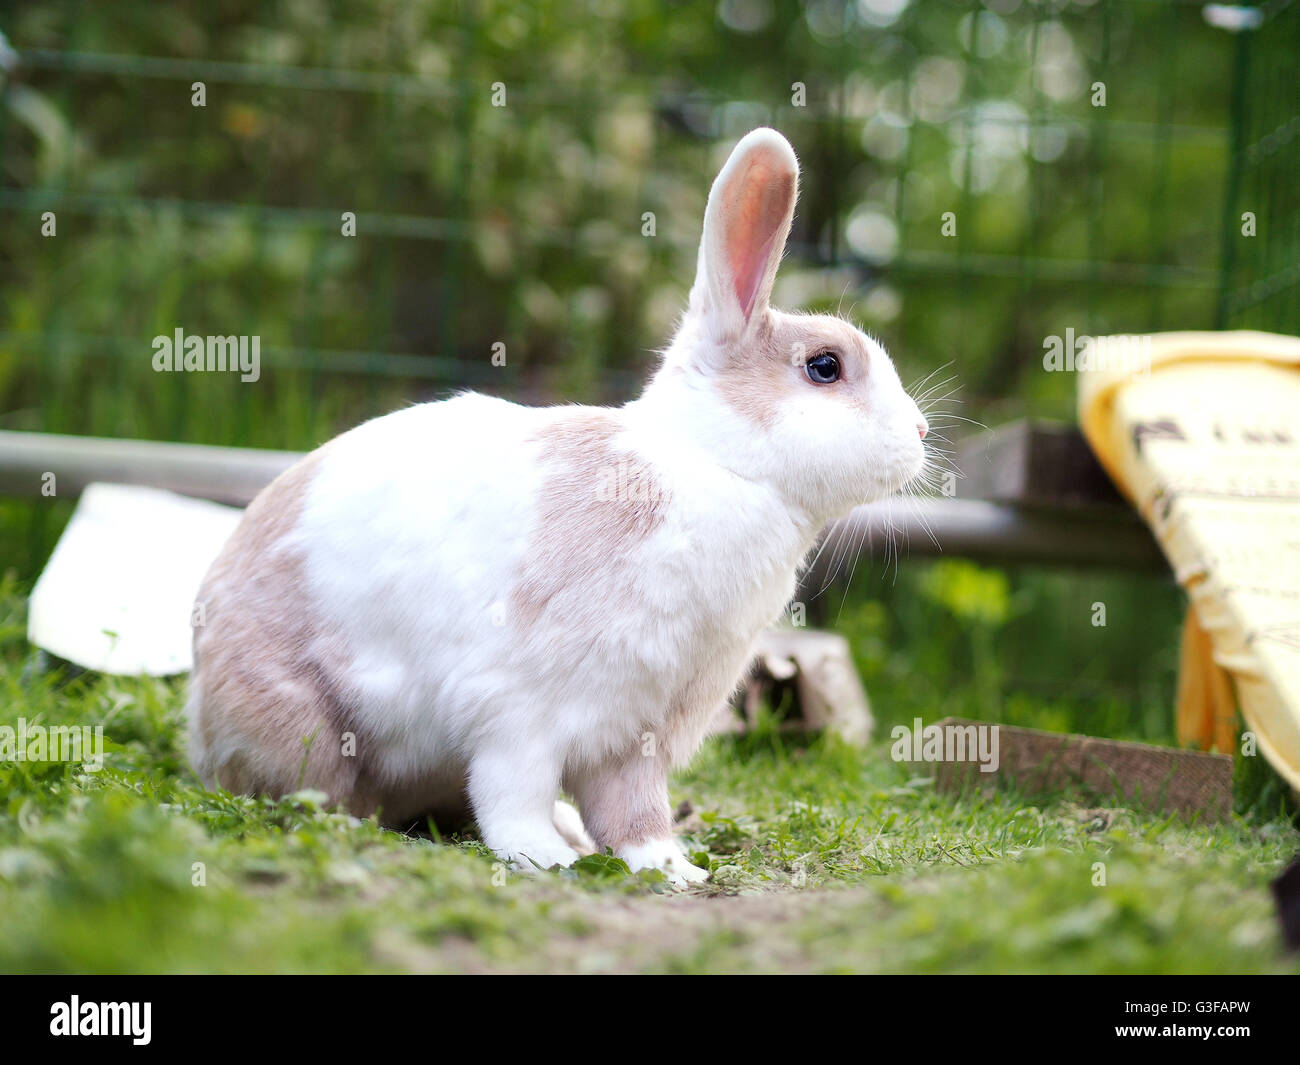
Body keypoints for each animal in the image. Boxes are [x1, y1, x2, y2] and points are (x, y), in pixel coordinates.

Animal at [186, 127, 929, 886]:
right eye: (824, 367)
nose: (923, 433)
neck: (709, 462)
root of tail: (202, 702)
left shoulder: (641, 733)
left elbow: (637, 813)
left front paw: (673, 871)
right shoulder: (519, 712)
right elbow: (512, 794)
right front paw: (540, 857)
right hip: (309, 723)